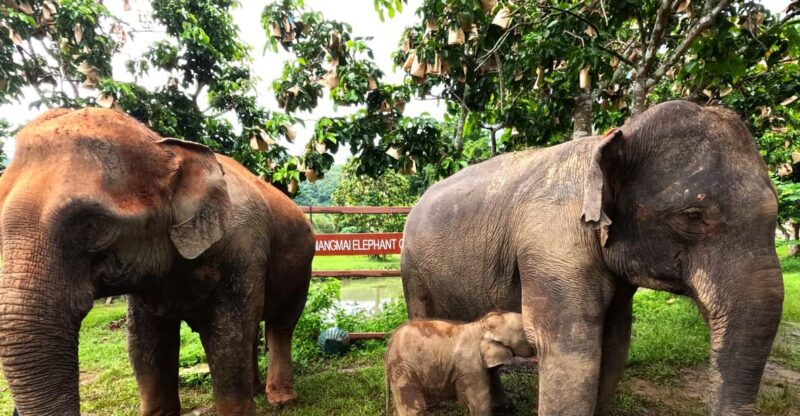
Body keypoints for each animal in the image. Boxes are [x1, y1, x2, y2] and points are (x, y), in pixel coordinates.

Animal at [0, 108, 315, 415]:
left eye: (92, 225)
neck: (165, 144)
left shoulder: (243, 250)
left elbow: (227, 342)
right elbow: (146, 345)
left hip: (302, 266)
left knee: (280, 325)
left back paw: (282, 400)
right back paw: (257, 390)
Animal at [384, 311, 534, 416]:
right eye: (526, 333)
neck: (481, 326)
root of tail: (391, 341)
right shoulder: (470, 364)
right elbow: (478, 402)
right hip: (403, 367)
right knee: (414, 409)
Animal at [400, 101, 784, 415]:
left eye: (777, 211)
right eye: (692, 216)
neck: (611, 137)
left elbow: (614, 343)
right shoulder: (553, 246)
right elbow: (571, 349)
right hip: (412, 267)